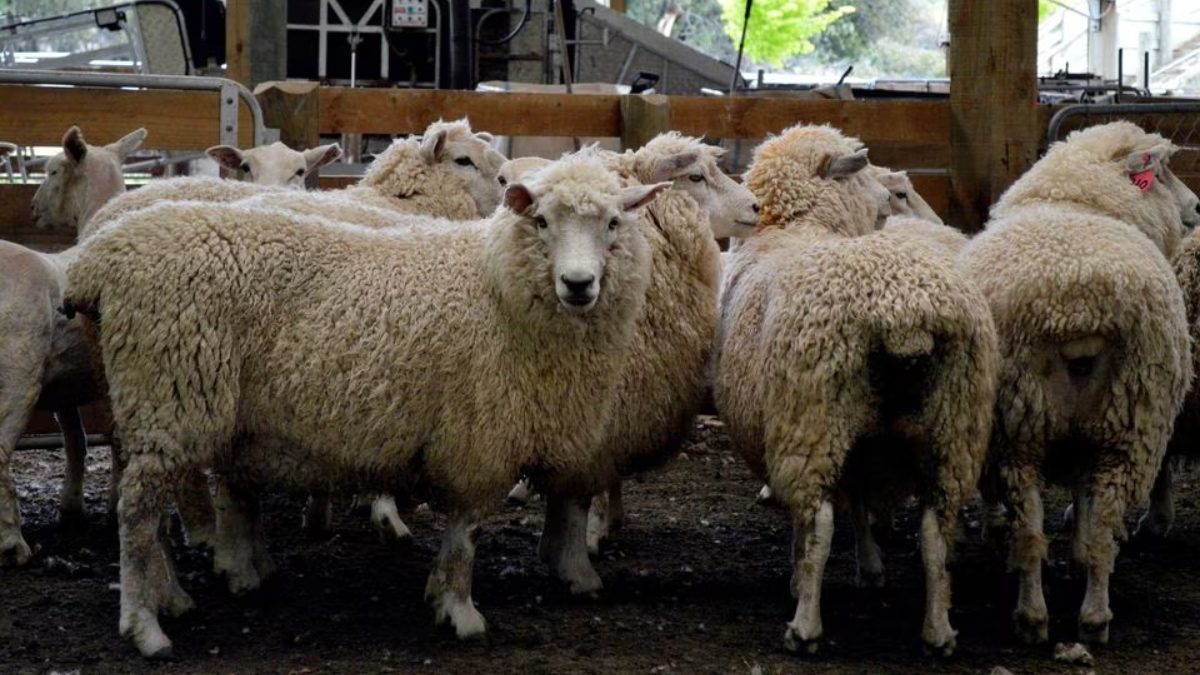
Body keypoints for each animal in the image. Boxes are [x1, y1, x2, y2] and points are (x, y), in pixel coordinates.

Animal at [0, 125, 145, 566]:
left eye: (49, 171)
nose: (32, 208)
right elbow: (97, 441)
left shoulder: (66, 387)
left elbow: (80, 442)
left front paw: (74, 508)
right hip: (16, 373)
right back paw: (12, 543)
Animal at [63, 150, 665, 658]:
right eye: (541, 222)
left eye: (614, 224)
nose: (579, 284)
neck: (496, 284)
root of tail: (101, 257)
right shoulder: (478, 437)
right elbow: (466, 534)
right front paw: (460, 611)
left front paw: (439, 595)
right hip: (171, 397)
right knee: (137, 512)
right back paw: (145, 625)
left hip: (155, 404)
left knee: (150, 508)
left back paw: (174, 597)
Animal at [715, 123, 998, 655]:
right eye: (864, 171)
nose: (885, 199)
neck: (799, 226)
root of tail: (904, 314)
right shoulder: (865, 444)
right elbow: (864, 503)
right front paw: (870, 567)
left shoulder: (792, 428)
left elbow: (815, 519)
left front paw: (800, 576)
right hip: (952, 426)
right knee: (935, 528)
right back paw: (938, 630)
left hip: (815, 422)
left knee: (821, 522)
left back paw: (805, 625)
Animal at [960, 120, 1196, 645]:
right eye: (1163, 173)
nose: (1196, 209)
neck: (1074, 199)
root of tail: (1078, 308)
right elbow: (1084, 507)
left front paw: (1074, 554)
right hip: (1120, 422)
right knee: (1096, 522)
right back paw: (1081, 616)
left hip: (1037, 428)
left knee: (1036, 529)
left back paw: (1048, 617)